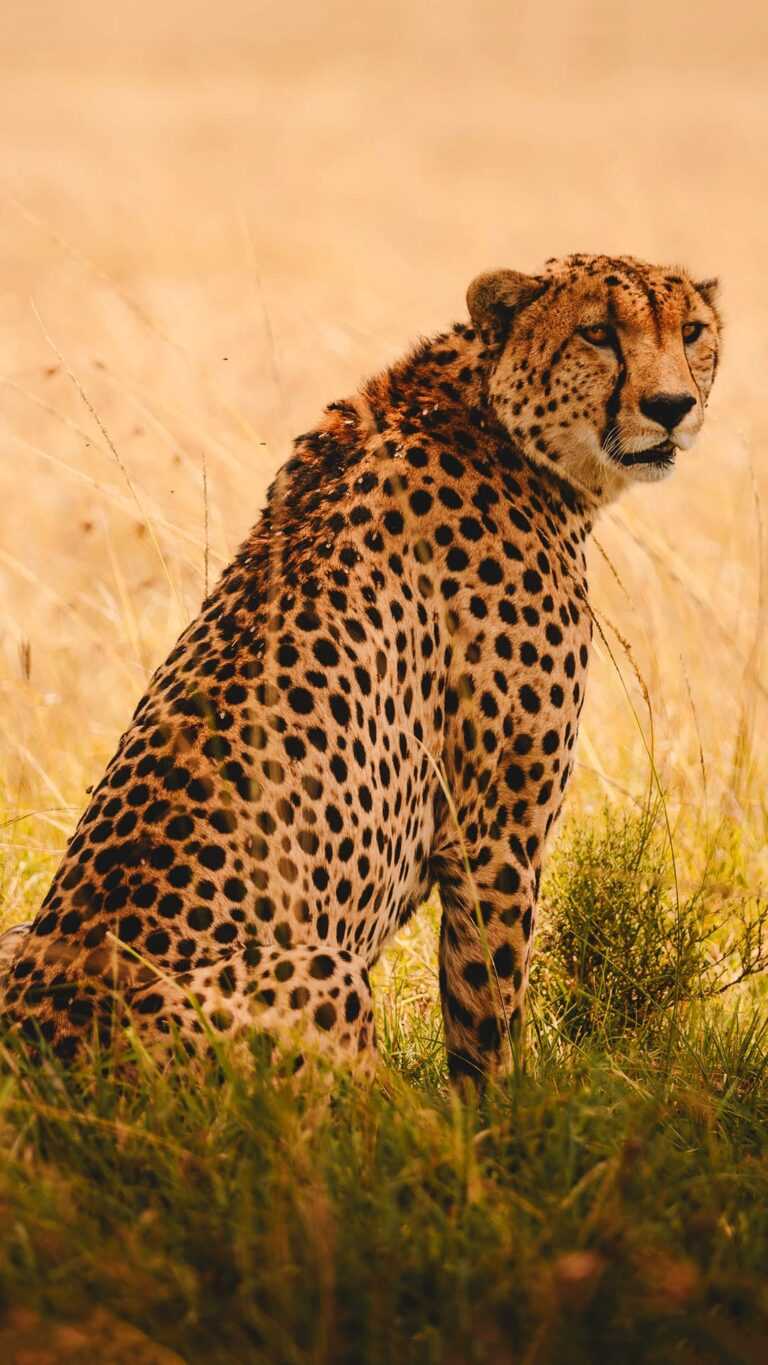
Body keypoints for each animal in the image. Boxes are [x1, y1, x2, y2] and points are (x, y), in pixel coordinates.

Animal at [0, 253, 721, 1082]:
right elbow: (487, 1006)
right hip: (322, 970)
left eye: (691, 332)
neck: (488, 412)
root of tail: (37, 1040)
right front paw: (509, 1109)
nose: (671, 406)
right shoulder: (495, 828)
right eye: (598, 333)